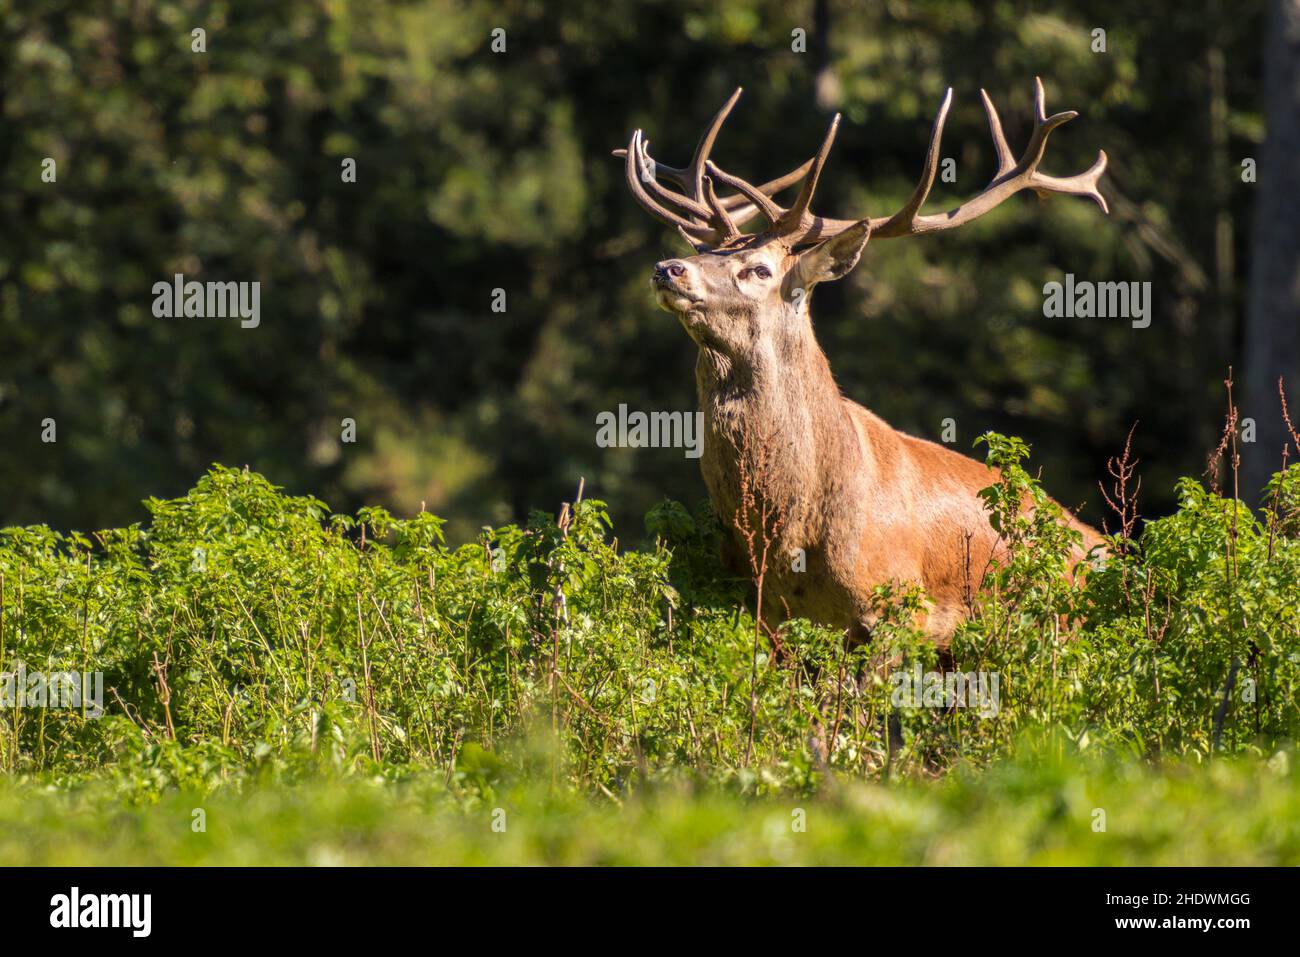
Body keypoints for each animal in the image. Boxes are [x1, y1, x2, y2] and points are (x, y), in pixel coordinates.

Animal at [615, 78, 1107, 649]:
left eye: (758, 269)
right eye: (702, 251)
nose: (668, 268)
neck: (791, 535)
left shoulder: (899, 608)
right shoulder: (768, 617)